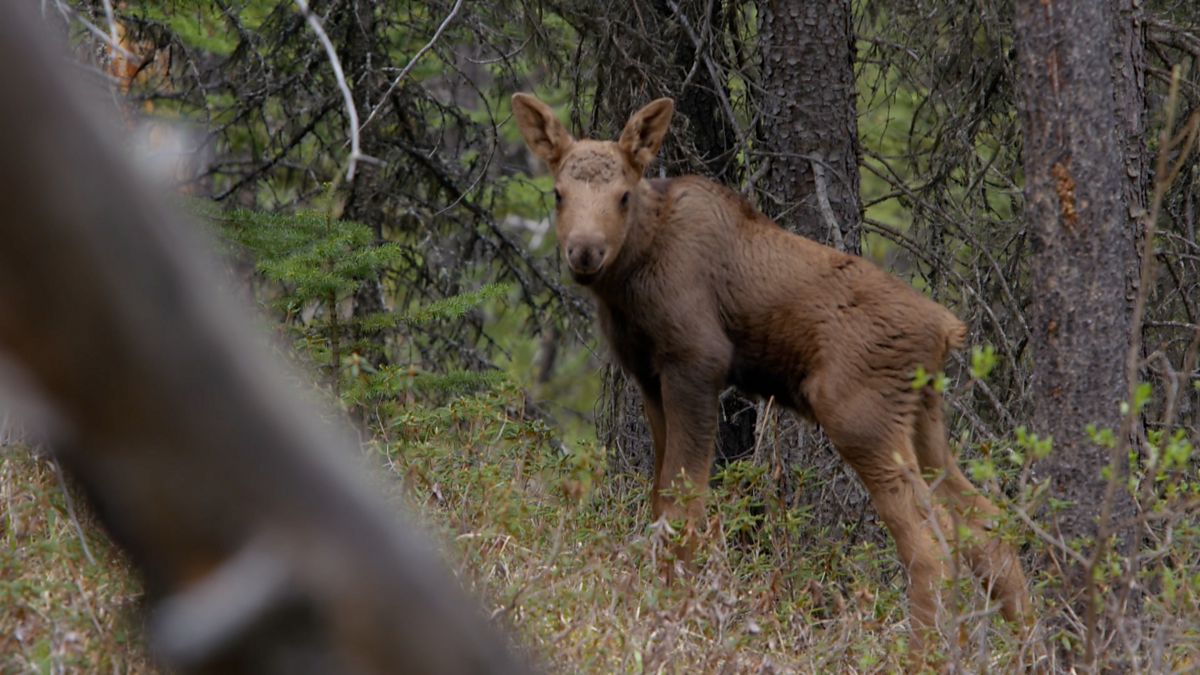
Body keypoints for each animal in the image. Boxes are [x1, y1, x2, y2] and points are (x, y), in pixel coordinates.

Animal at [511, 92, 1032, 655]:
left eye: (623, 196)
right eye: (558, 193)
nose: (584, 252)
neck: (630, 283)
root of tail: (946, 329)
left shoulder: (697, 362)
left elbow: (683, 509)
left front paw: (669, 620)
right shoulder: (648, 377)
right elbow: (658, 499)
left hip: (860, 417)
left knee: (933, 544)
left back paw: (920, 657)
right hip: (923, 417)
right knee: (985, 524)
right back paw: (1037, 643)